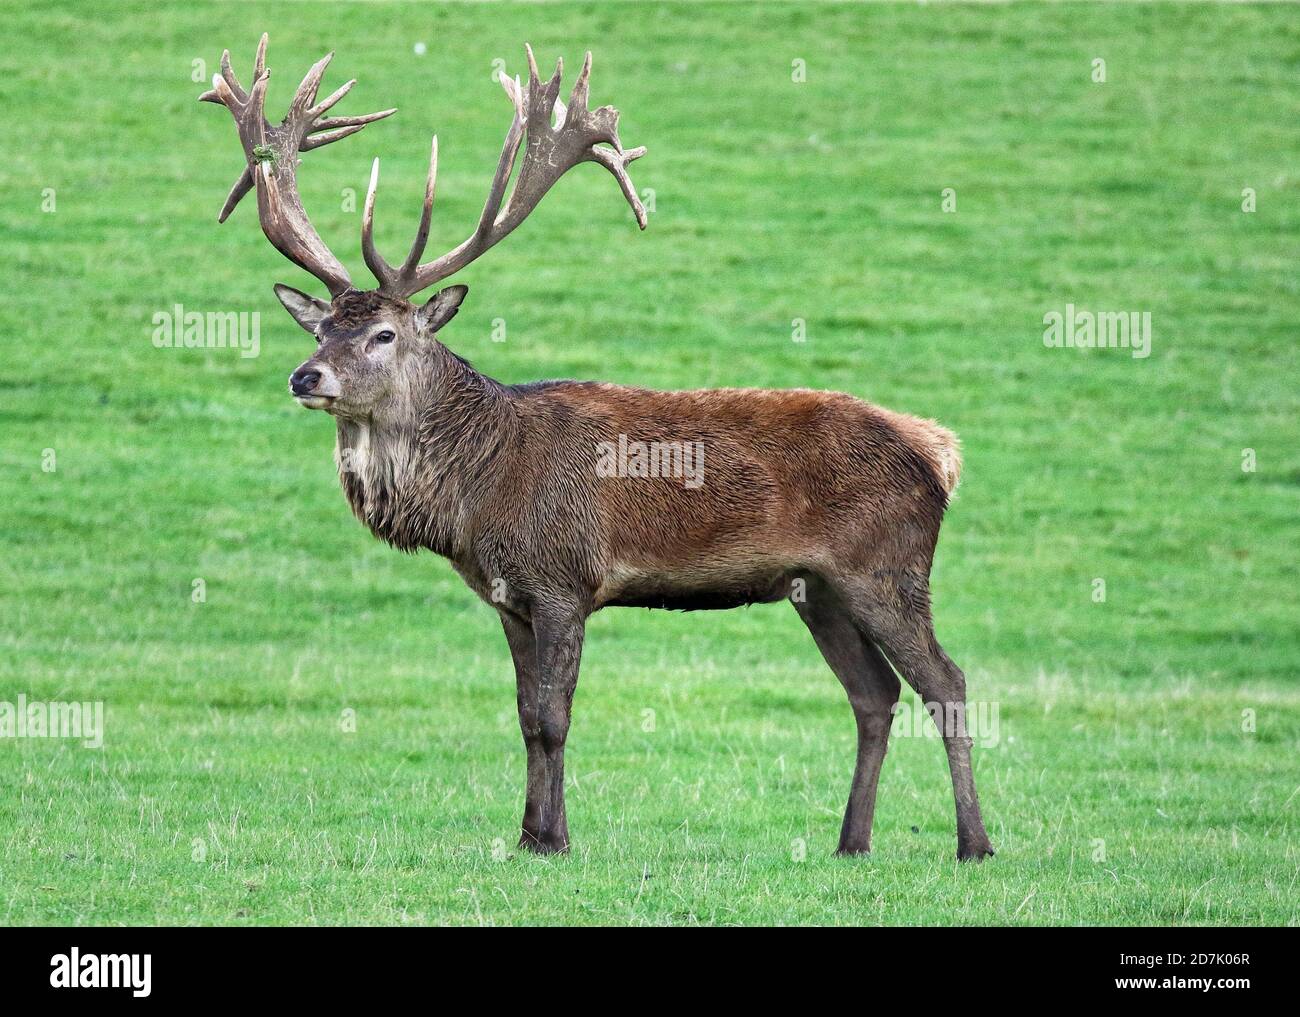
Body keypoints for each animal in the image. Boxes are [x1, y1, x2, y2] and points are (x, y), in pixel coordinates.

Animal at [200, 35, 995, 861]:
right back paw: (851, 841)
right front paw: (527, 833)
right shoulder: (509, 595)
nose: (305, 374)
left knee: (947, 682)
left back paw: (973, 842)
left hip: (886, 564)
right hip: (819, 586)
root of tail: (938, 450)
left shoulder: (562, 578)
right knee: (875, 694)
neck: (476, 489)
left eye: (384, 334)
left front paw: (554, 838)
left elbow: (554, 717)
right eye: (322, 327)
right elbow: (525, 718)